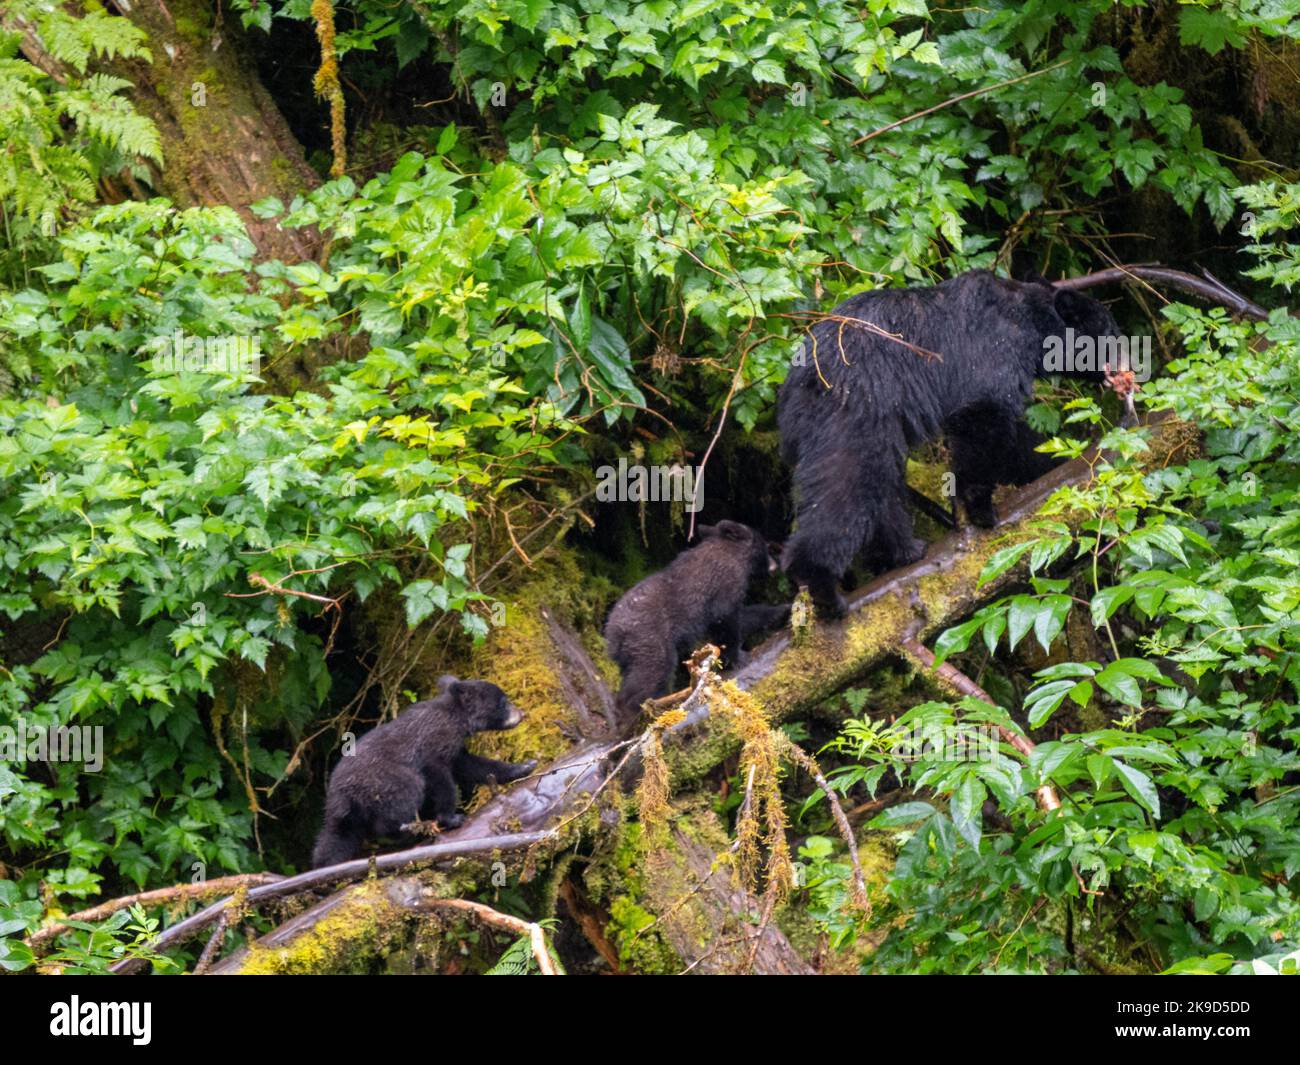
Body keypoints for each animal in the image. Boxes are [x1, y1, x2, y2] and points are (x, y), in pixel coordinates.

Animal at [311, 676, 537, 867]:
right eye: (503, 701)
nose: (522, 714)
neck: (456, 719)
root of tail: (341, 795)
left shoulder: (455, 749)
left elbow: (473, 765)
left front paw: (525, 766)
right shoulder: (434, 744)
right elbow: (441, 777)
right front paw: (451, 817)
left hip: (345, 816)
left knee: (335, 839)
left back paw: (325, 865)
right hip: (386, 781)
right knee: (404, 796)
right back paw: (412, 831)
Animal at [604, 520, 781, 722]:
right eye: (763, 543)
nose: (775, 564)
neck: (733, 555)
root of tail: (613, 632)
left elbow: (747, 616)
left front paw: (783, 609)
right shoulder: (725, 586)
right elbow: (727, 620)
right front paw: (739, 657)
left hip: (628, 654)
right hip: (648, 640)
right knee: (652, 672)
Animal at [778, 270, 1121, 616]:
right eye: (1111, 330)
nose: (1127, 365)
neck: (1033, 323)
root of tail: (795, 383)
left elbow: (1019, 440)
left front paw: (1056, 462)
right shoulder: (994, 349)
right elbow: (984, 415)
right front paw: (981, 508)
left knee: (883, 482)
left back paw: (906, 550)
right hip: (858, 406)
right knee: (848, 482)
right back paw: (823, 584)